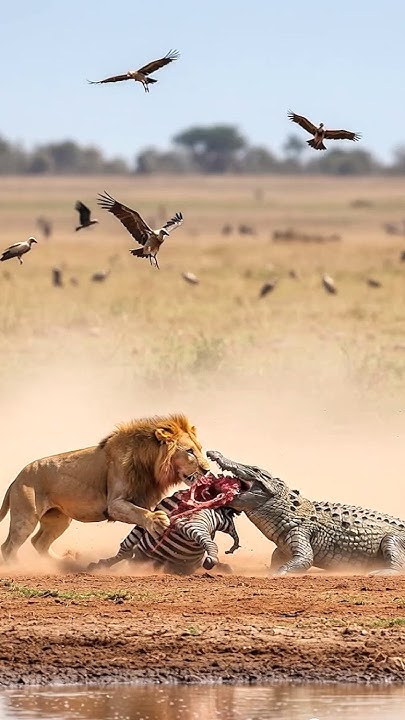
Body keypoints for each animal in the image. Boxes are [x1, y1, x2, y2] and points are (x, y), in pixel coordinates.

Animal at [0, 413, 209, 562]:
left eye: (200, 449)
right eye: (189, 451)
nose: (206, 470)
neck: (149, 464)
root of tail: (17, 478)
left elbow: (139, 517)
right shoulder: (114, 505)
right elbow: (138, 513)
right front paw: (158, 521)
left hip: (59, 519)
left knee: (39, 543)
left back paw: (62, 562)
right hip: (26, 517)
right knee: (9, 547)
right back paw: (18, 567)